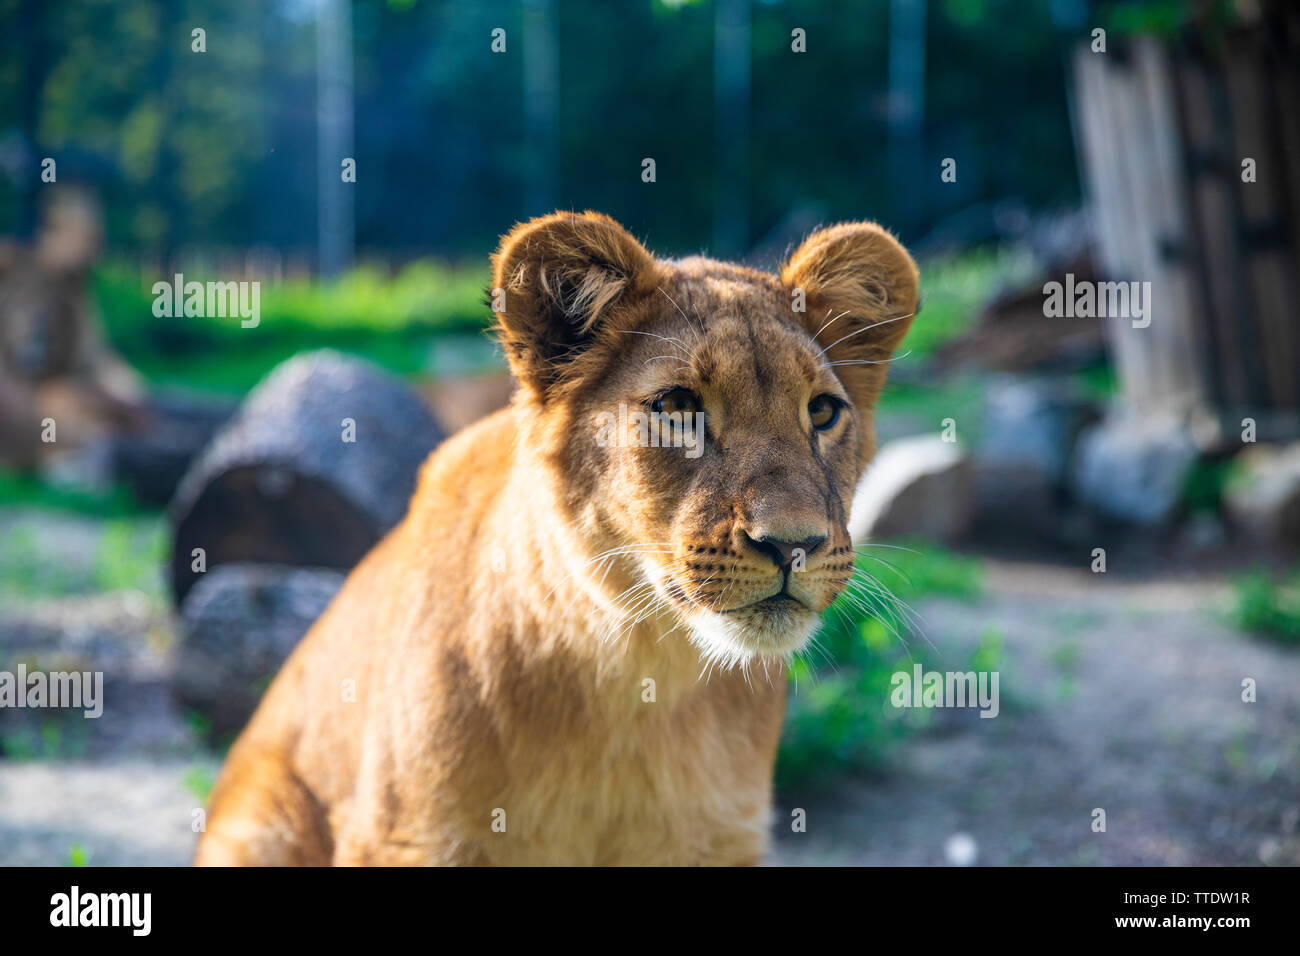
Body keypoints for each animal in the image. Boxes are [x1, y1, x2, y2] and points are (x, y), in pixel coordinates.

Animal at [195, 211, 919, 866]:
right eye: (677, 407)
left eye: (821, 411)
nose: (793, 544)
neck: (636, 682)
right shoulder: (407, 838)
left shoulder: (722, 839)